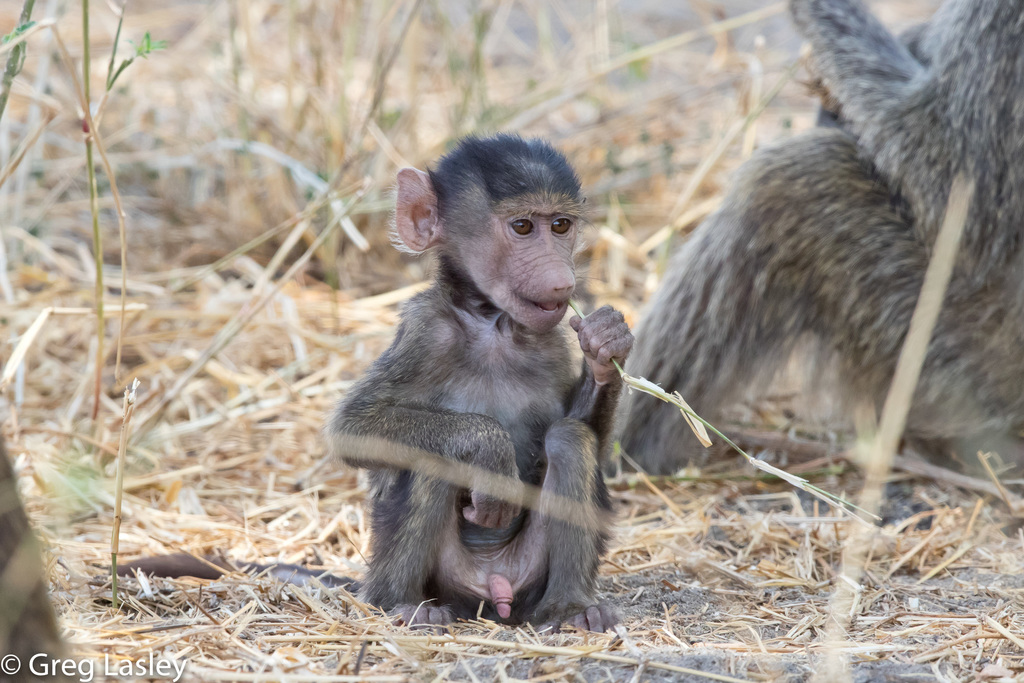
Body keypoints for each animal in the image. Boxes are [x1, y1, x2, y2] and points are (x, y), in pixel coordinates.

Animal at [324, 134, 633, 631]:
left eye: (560, 225)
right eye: (523, 227)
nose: (561, 281)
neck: (495, 324)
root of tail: (494, 589)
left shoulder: (553, 342)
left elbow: (594, 440)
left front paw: (607, 344)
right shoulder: (425, 330)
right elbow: (352, 428)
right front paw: (490, 450)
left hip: (528, 578)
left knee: (570, 439)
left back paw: (571, 607)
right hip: (444, 579)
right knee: (433, 455)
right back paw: (403, 604)